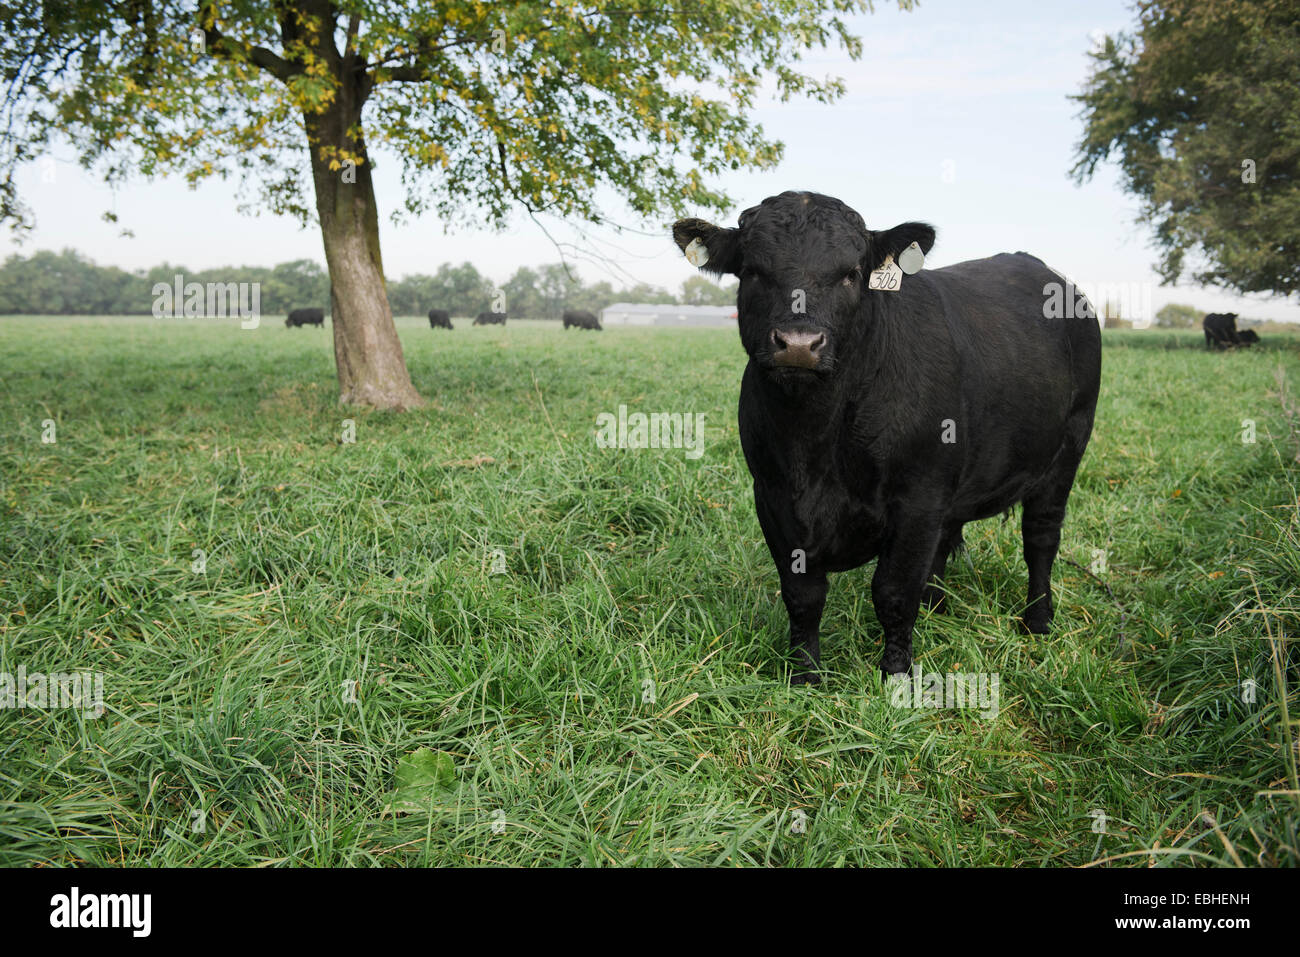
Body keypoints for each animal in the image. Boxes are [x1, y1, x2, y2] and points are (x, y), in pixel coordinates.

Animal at [673, 191, 1102, 684]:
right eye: (753, 271)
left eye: (851, 273)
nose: (799, 344)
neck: (814, 440)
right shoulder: (772, 495)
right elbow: (802, 593)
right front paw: (804, 675)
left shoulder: (918, 496)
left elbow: (893, 591)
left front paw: (896, 675)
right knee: (947, 540)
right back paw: (937, 608)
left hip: (1067, 451)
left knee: (1041, 539)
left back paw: (1037, 620)